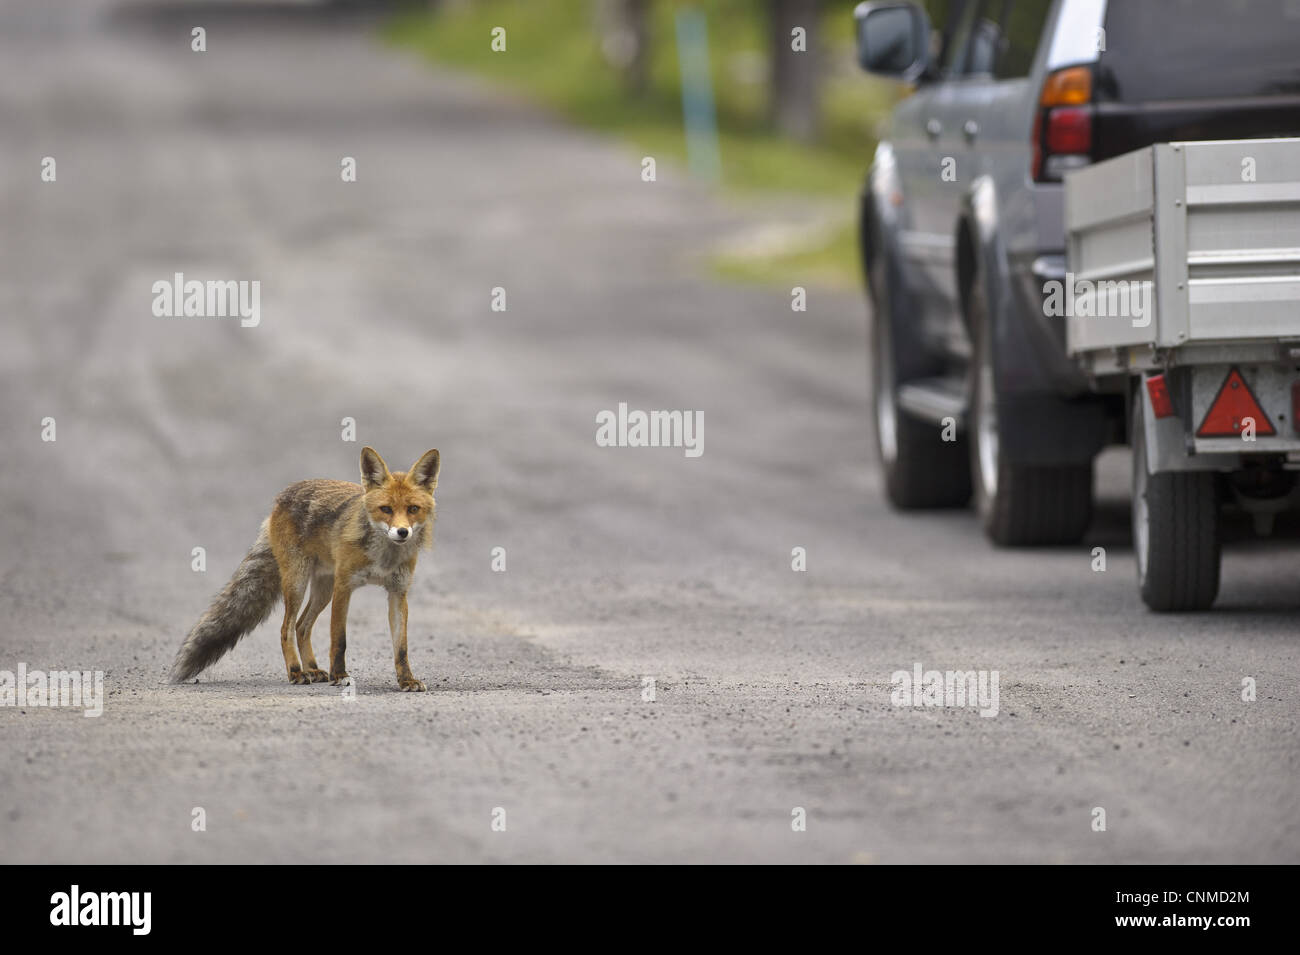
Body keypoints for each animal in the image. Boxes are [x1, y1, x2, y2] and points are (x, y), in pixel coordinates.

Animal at [170, 446, 440, 691]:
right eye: (386, 509)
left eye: (413, 509)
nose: (402, 532)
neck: (383, 558)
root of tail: (282, 496)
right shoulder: (344, 587)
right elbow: (339, 640)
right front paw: (340, 675)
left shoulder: (398, 593)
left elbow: (401, 647)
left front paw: (406, 680)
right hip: (298, 583)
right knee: (286, 628)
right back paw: (296, 672)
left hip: (322, 589)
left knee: (301, 626)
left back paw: (312, 669)